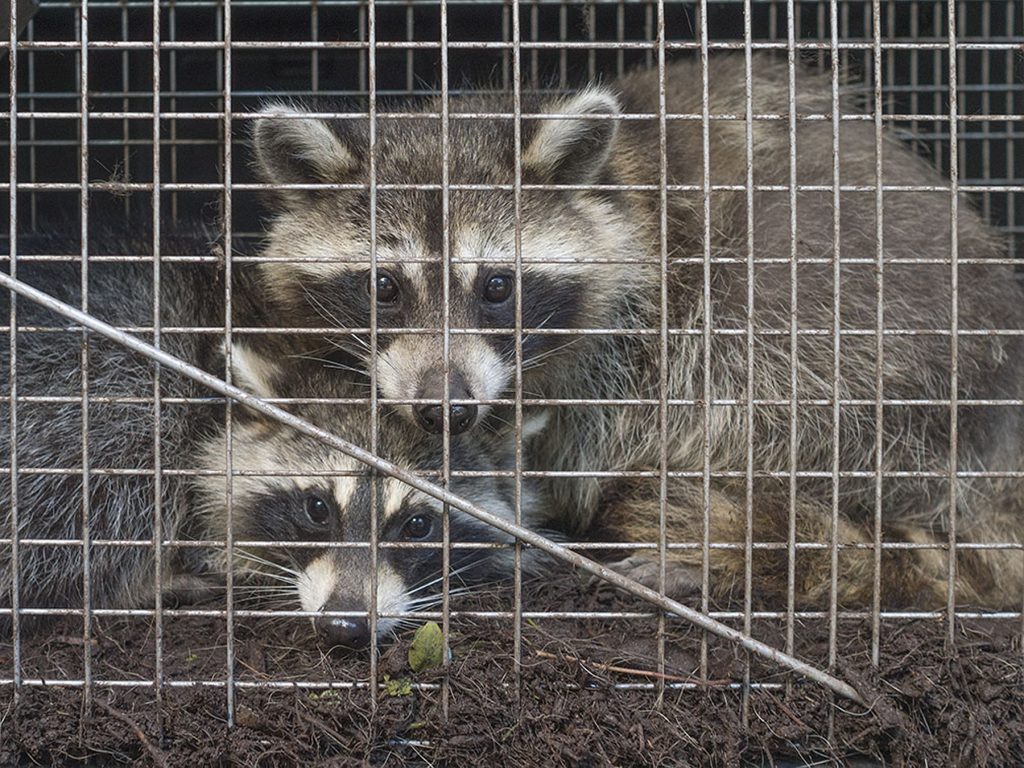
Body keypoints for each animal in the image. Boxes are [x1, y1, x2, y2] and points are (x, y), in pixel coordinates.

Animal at [248, 55, 1024, 609]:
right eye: (385, 287)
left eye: (496, 287)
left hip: (862, 330)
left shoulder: (632, 336)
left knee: (747, 370)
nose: (446, 406)